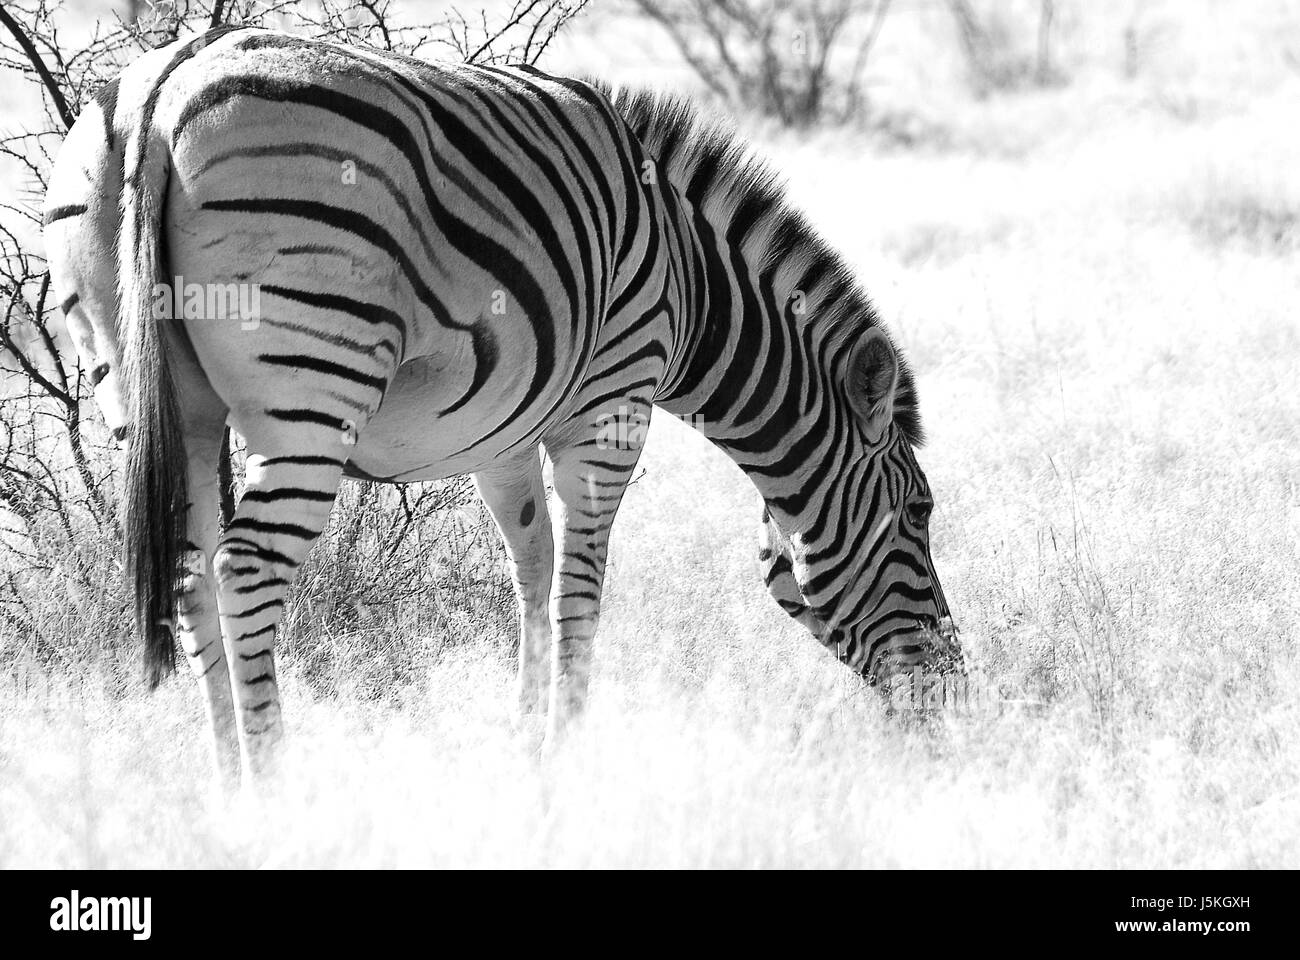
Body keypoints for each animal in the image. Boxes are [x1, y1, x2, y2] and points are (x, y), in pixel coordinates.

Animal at [43, 25, 961, 791]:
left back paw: (228, 787)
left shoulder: (503, 435)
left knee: (190, 569)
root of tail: (160, 93)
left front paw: (527, 742)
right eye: (919, 513)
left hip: (154, 397)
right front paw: (569, 748)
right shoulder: (612, 406)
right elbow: (582, 583)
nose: (957, 694)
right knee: (246, 569)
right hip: (313, 383)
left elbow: (533, 569)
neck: (694, 281)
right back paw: (273, 793)